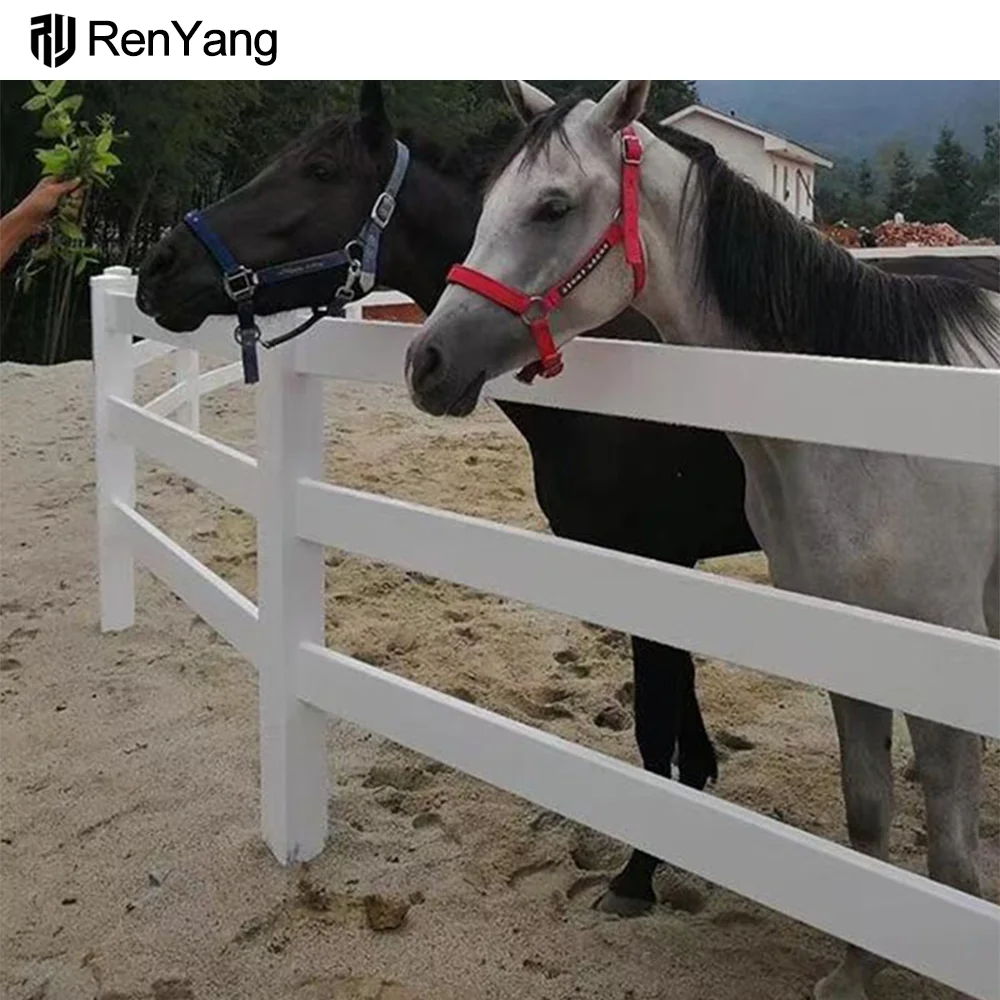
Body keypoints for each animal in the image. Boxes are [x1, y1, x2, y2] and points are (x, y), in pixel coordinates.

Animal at [134, 81, 753, 917]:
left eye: (320, 169)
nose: (159, 265)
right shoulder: (665, 575)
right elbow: (680, 717)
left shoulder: (656, 562)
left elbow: (657, 726)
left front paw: (636, 876)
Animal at [405, 81, 1000, 1000]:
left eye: (552, 206)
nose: (427, 362)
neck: (865, 417)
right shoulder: (848, 647)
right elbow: (867, 818)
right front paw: (855, 973)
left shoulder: (939, 647)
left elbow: (954, 868)